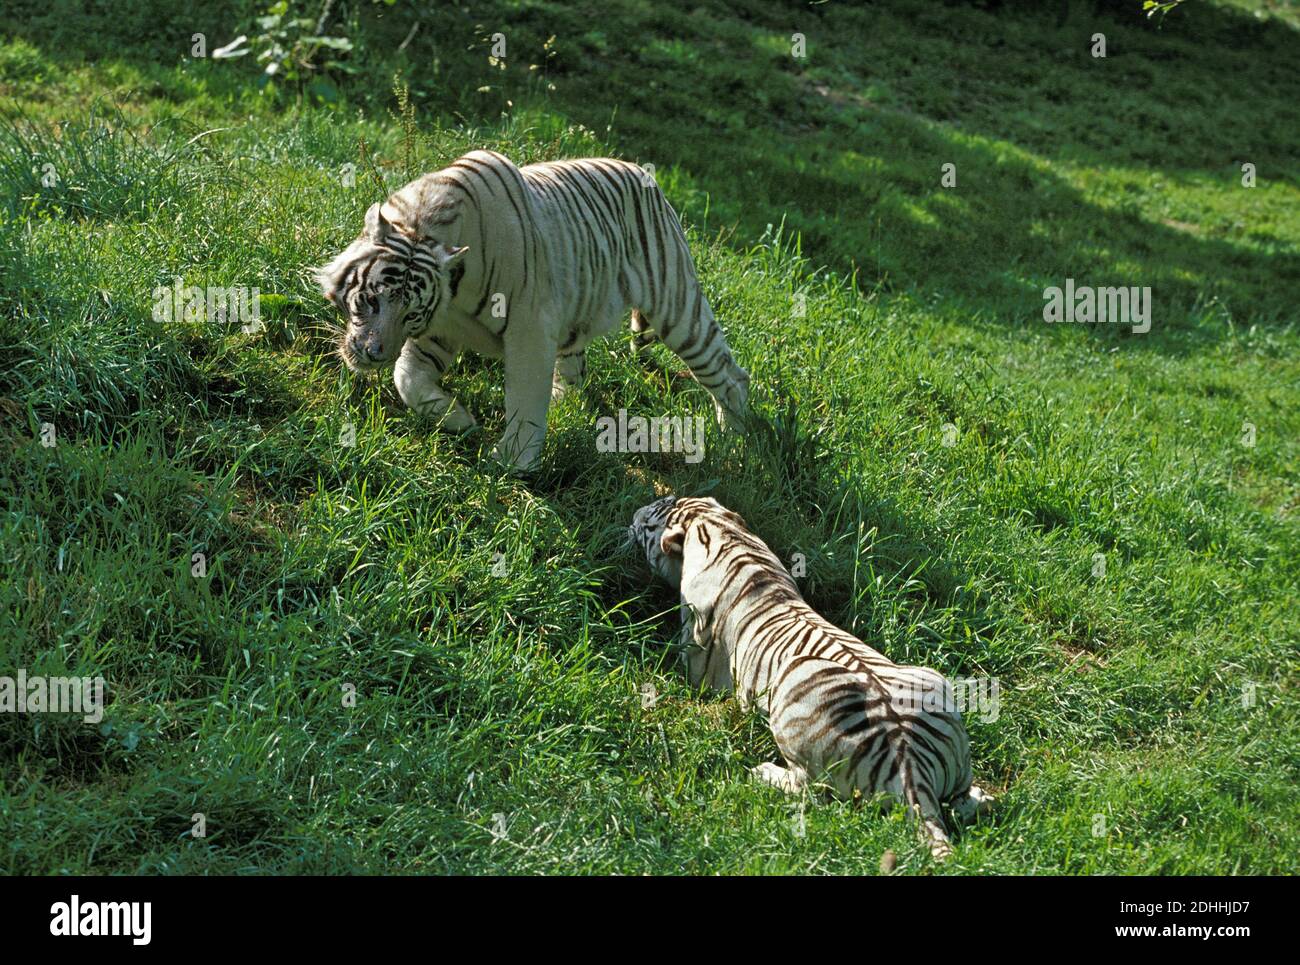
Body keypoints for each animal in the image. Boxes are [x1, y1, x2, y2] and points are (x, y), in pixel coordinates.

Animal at [315, 150, 750, 471]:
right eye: (374, 300)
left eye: (409, 314)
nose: (374, 354)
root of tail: (646, 176)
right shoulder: (442, 327)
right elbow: (407, 378)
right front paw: (458, 418)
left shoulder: (529, 326)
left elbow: (523, 395)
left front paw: (512, 461)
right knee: (575, 372)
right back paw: (563, 407)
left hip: (677, 309)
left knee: (729, 372)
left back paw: (734, 440)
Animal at [628, 495, 994, 860]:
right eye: (665, 501)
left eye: (649, 522)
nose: (633, 516)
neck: (720, 532)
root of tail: (912, 766)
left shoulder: (694, 655)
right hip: (936, 688)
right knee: (964, 799)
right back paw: (981, 797)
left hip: (793, 697)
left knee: (812, 793)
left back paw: (763, 772)